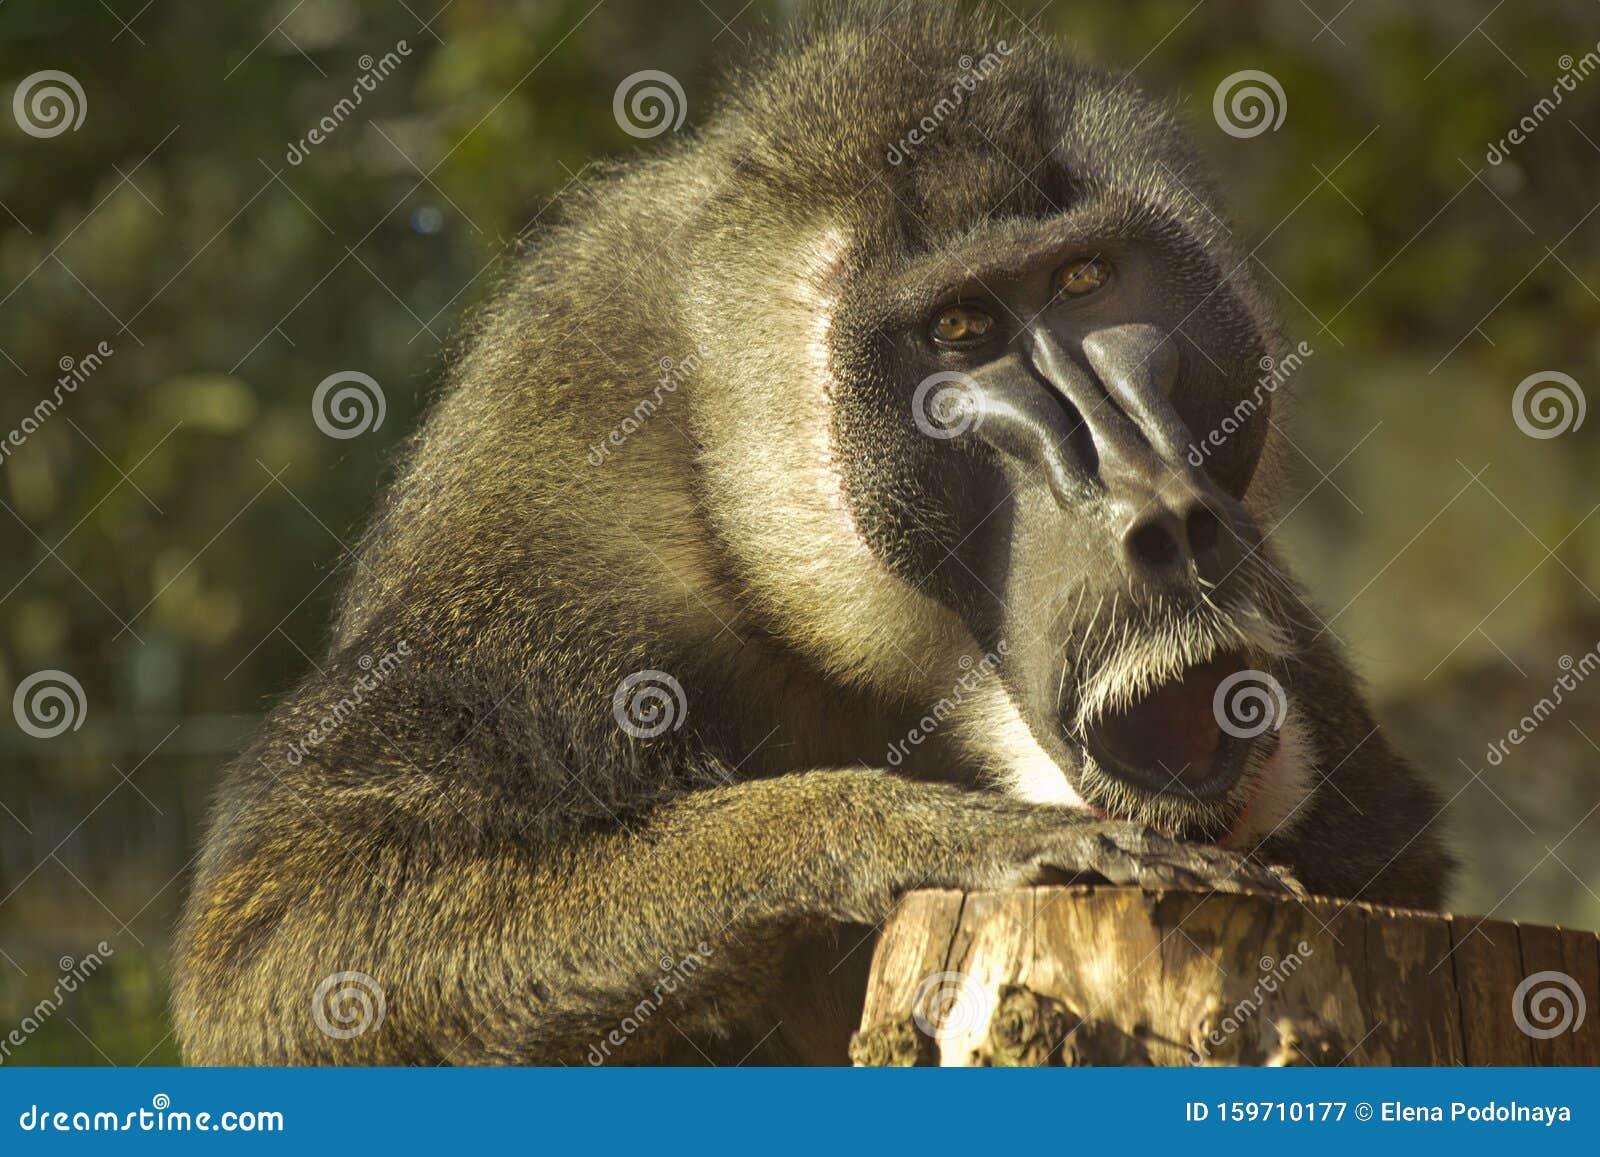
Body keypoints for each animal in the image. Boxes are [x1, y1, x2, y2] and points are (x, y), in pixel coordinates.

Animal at [172, 2, 1453, 1066]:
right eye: (962, 329)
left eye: (1087, 278)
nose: (1163, 514)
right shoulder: (552, 570)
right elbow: (280, 953)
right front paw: (902, 834)